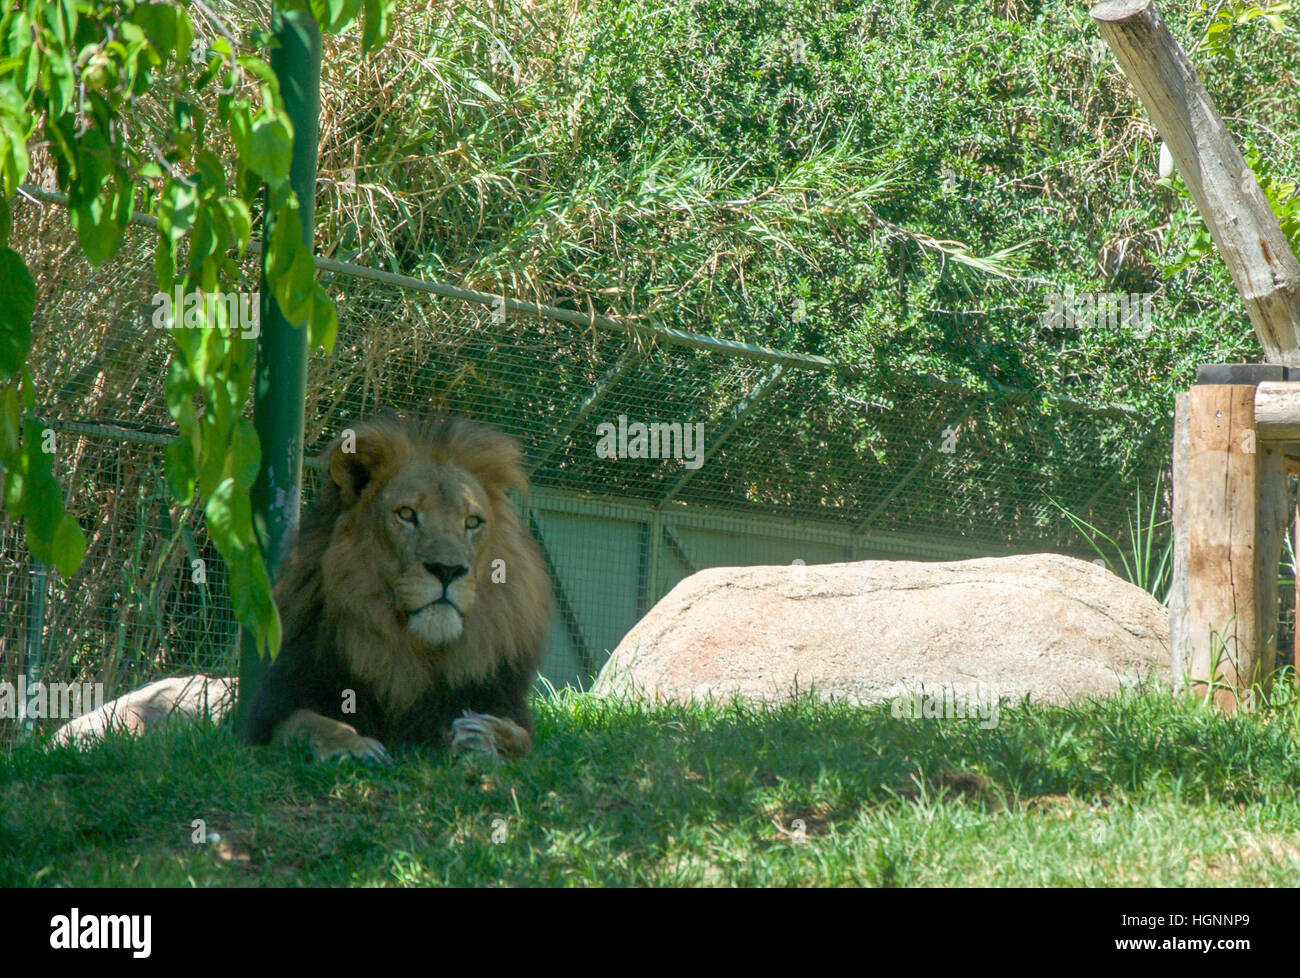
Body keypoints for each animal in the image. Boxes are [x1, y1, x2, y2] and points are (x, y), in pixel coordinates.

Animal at [237, 412, 553, 762]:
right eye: (406, 514)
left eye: (472, 522)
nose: (447, 569)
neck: (409, 651)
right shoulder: (271, 712)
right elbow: (307, 724)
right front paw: (353, 746)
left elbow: (522, 738)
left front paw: (483, 734)